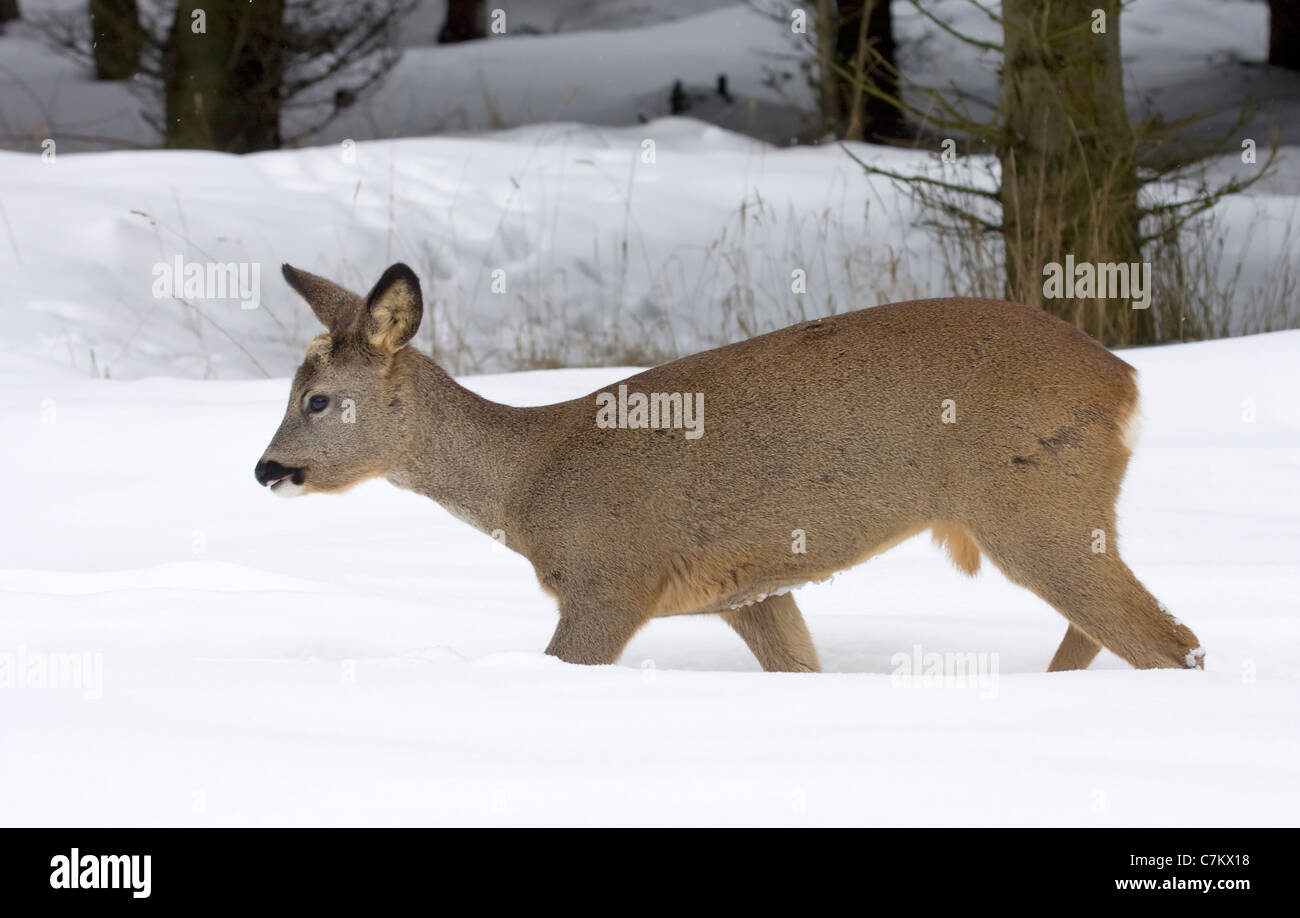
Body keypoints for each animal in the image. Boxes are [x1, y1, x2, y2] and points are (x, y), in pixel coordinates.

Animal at [255, 262, 1205, 674]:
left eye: (318, 400)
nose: (266, 470)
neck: (526, 483)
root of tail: (1125, 381)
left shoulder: (611, 577)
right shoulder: (749, 590)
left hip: (1031, 497)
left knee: (1169, 642)